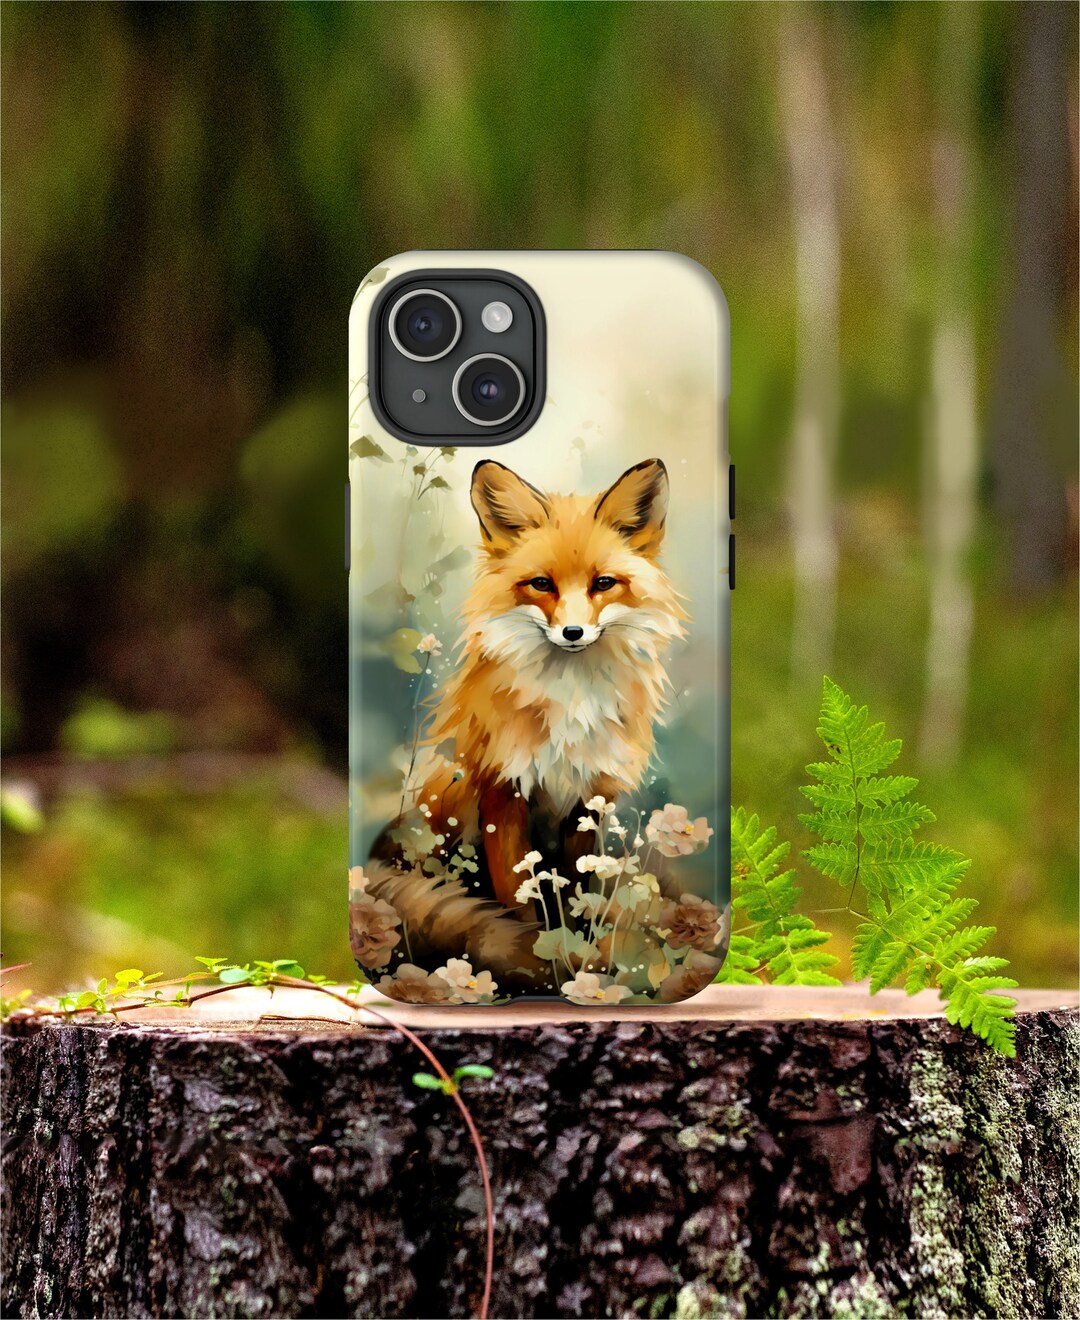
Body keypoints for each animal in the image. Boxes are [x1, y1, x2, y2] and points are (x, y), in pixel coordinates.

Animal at [365, 457, 686, 983]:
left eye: (602, 583)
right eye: (542, 584)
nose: (573, 632)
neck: (572, 703)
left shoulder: (587, 799)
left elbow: (578, 894)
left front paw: (580, 953)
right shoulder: (503, 792)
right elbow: (519, 900)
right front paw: (541, 960)